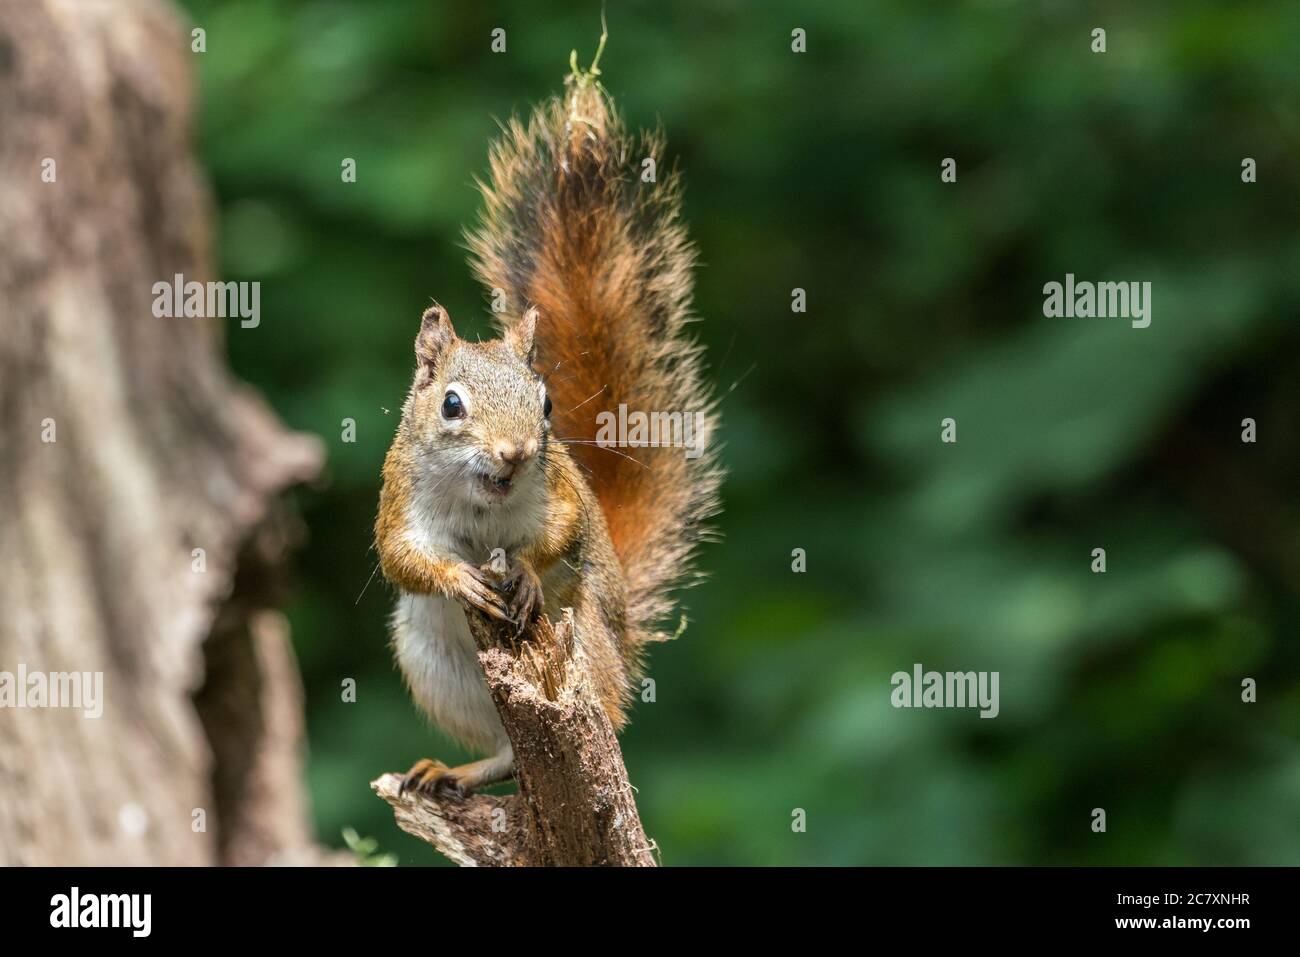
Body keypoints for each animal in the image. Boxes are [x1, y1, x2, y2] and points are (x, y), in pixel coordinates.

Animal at [374, 69, 722, 796]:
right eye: (451, 405)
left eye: (547, 404)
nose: (516, 453)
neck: (484, 502)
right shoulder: (399, 496)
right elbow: (402, 556)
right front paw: (460, 578)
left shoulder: (557, 489)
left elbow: (562, 528)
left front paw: (528, 573)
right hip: (431, 657)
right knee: (509, 751)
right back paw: (453, 769)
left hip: (582, 642)